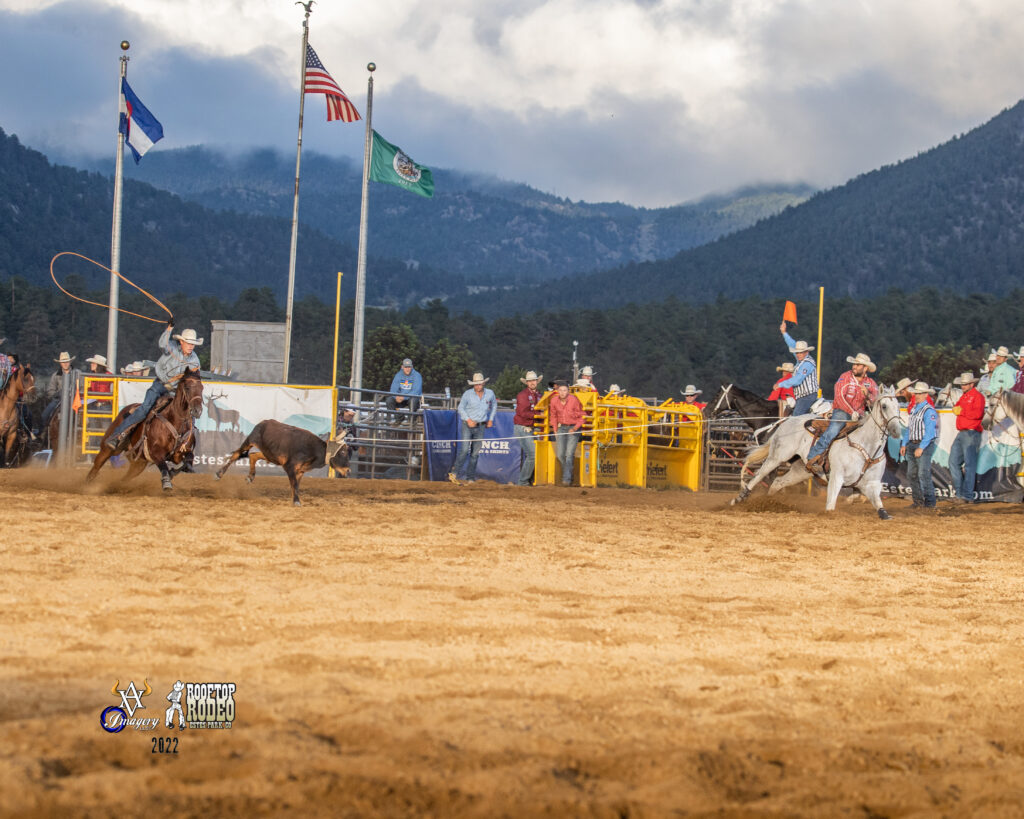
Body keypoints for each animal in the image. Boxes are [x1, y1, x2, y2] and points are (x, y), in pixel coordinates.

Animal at [731, 387, 904, 519]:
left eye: (898, 406)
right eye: (884, 406)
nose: (896, 431)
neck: (866, 446)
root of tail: (788, 421)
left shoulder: (872, 484)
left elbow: (879, 506)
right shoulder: (836, 477)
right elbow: (830, 506)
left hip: (801, 469)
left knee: (778, 482)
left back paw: (770, 502)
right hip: (777, 456)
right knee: (759, 475)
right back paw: (739, 498)